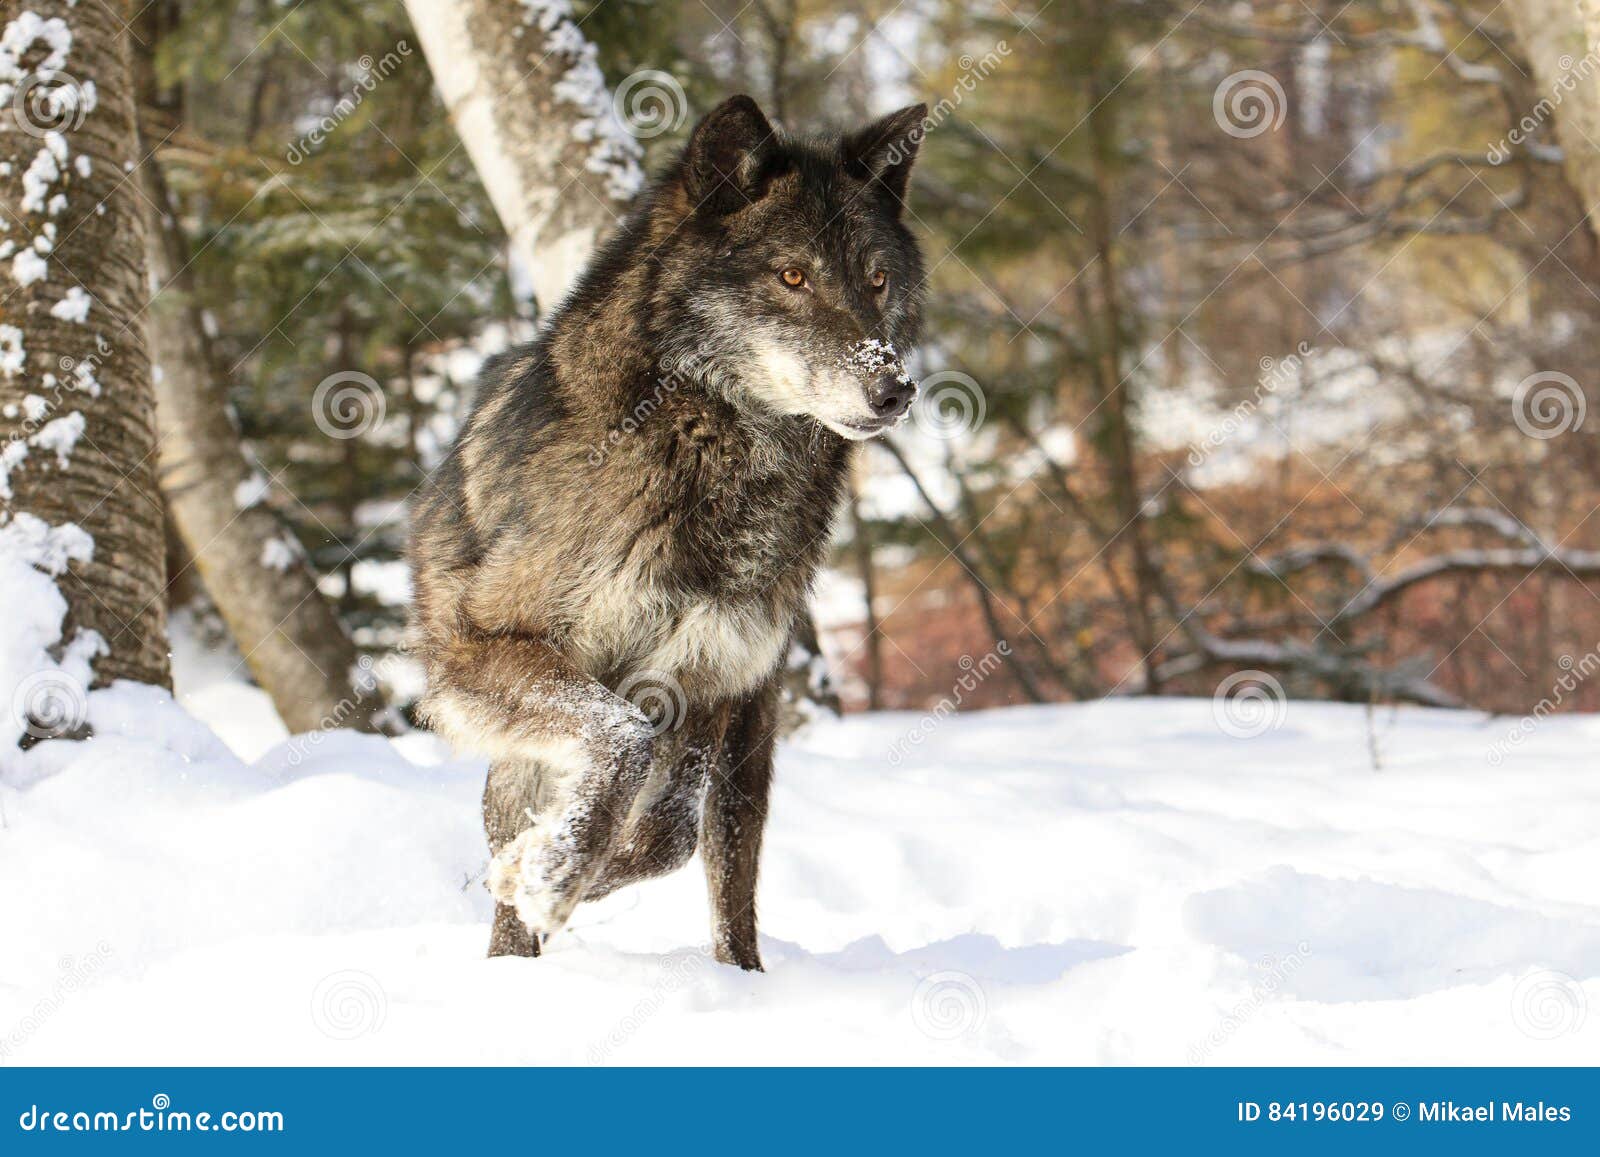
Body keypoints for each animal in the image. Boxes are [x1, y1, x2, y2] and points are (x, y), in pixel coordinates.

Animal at [408, 94, 926, 971]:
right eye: (792, 275)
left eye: (877, 279)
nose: (894, 389)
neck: (714, 448)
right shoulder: (482, 648)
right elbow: (620, 741)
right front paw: (554, 871)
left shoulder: (703, 677)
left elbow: (666, 831)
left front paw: (565, 869)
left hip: (752, 735)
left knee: (725, 867)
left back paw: (740, 978)